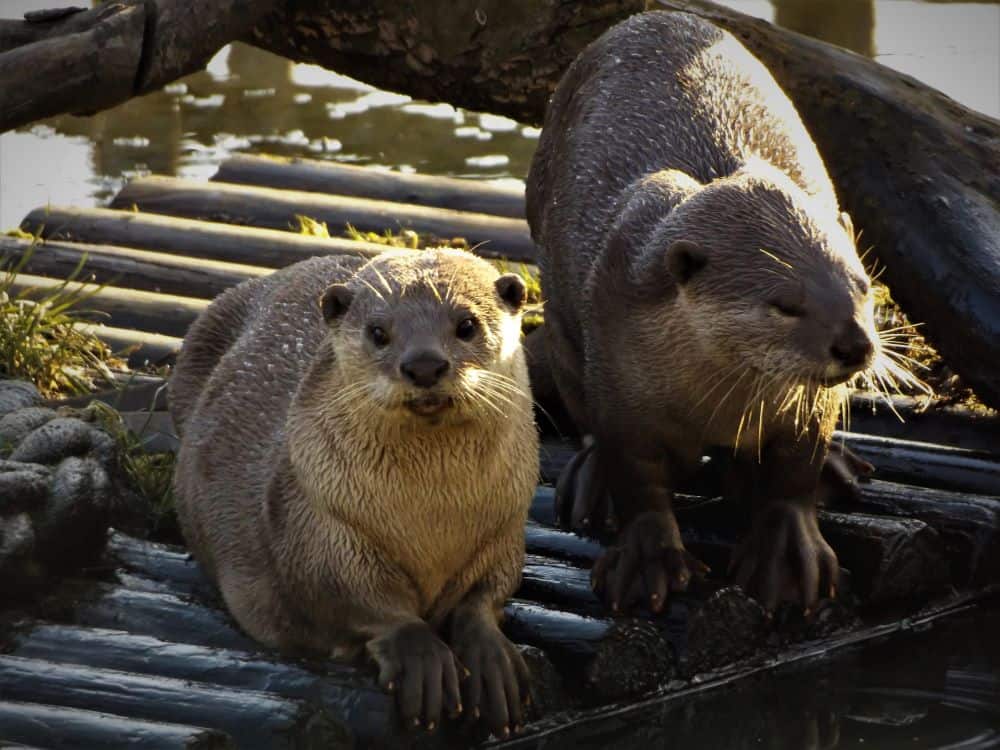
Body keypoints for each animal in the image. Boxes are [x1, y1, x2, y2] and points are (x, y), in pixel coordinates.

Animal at [170, 249, 538, 736]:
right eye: (378, 332)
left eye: (467, 324)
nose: (424, 365)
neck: (433, 518)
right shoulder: (317, 520)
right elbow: (353, 595)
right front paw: (419, 654)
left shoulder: (504, 529)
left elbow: (486, 593)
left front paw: (489, 658)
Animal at [526, 12, 895, 613]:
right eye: (786, 304)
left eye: (864, 289)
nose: (854, 345)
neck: (718, 407)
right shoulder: (619, 372)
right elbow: (636, 474)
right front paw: (646, 561)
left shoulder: (806, 409)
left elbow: (795, 467)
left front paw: (786, 553)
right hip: (562, 327)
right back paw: (590, 480)